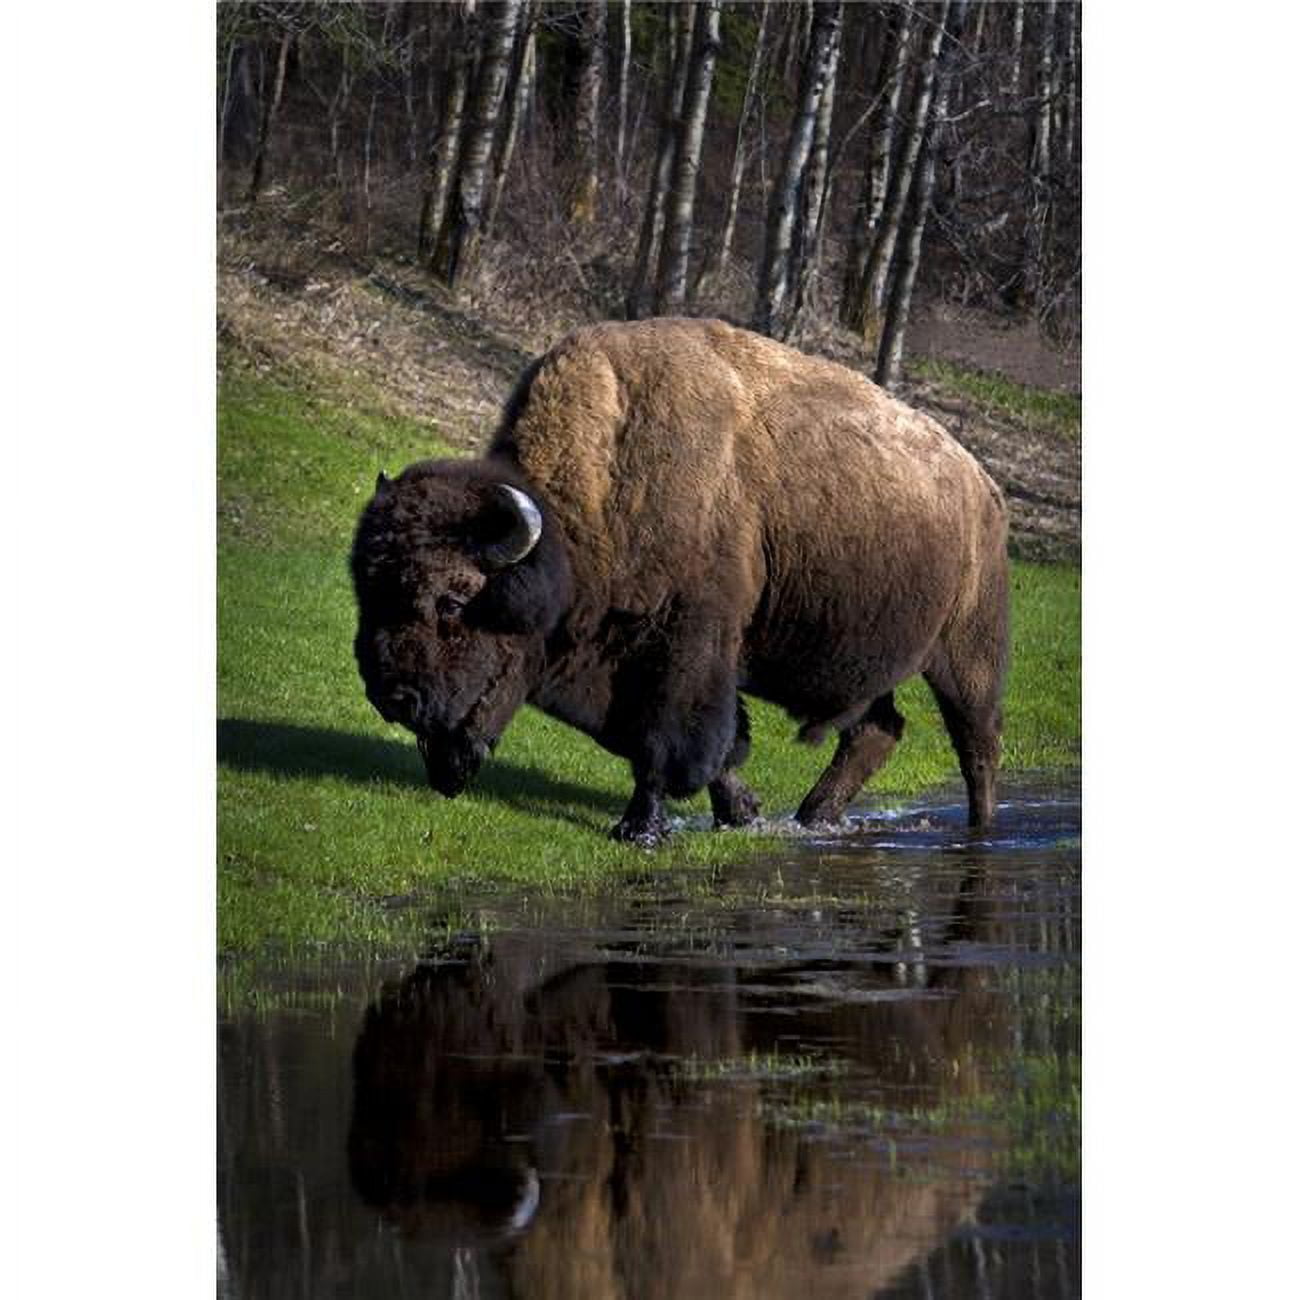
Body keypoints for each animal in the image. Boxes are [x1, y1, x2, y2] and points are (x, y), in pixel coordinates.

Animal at [351, 318, 1008, 844]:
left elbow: (667, 742)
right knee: (878, 729)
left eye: (453, 600)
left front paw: (638, 829)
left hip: (966, 654)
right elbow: (701, 747)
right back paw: (813, 817)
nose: (393, 695)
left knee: (977, 742)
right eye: (366, 591)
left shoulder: (687, 650)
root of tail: (982, 484)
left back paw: (979, 831)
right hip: (865, 661)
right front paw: (741, 813)